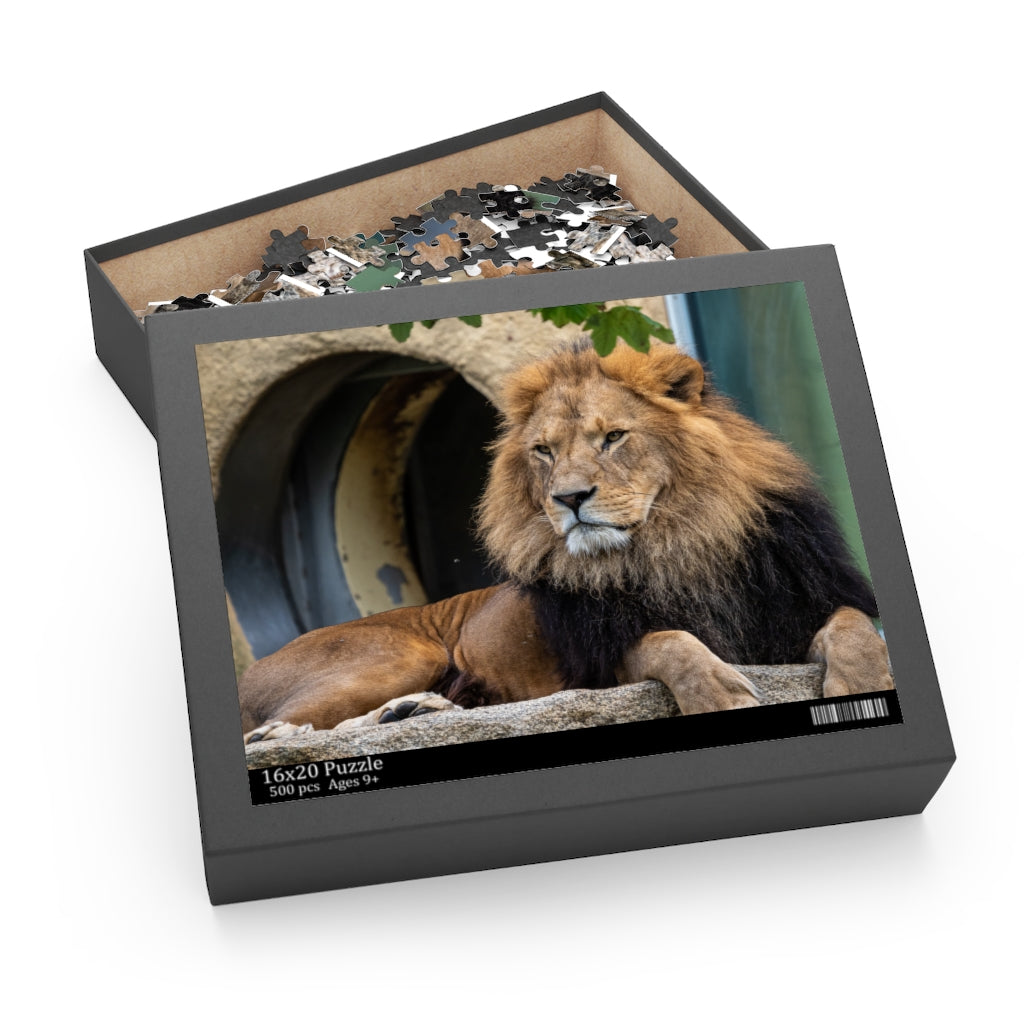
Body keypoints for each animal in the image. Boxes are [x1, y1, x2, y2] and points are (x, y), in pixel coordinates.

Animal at [240, 339, 893, 743]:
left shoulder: (793, 609)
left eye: (613, 437)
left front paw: (865, 686)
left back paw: (410, 712)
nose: (570, 497)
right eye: (544, 451)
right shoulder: (597, 663)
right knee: (264, 736)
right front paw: (720, 697)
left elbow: (853, 625)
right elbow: (669, 641)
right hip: (403, 653)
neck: (678, 543)